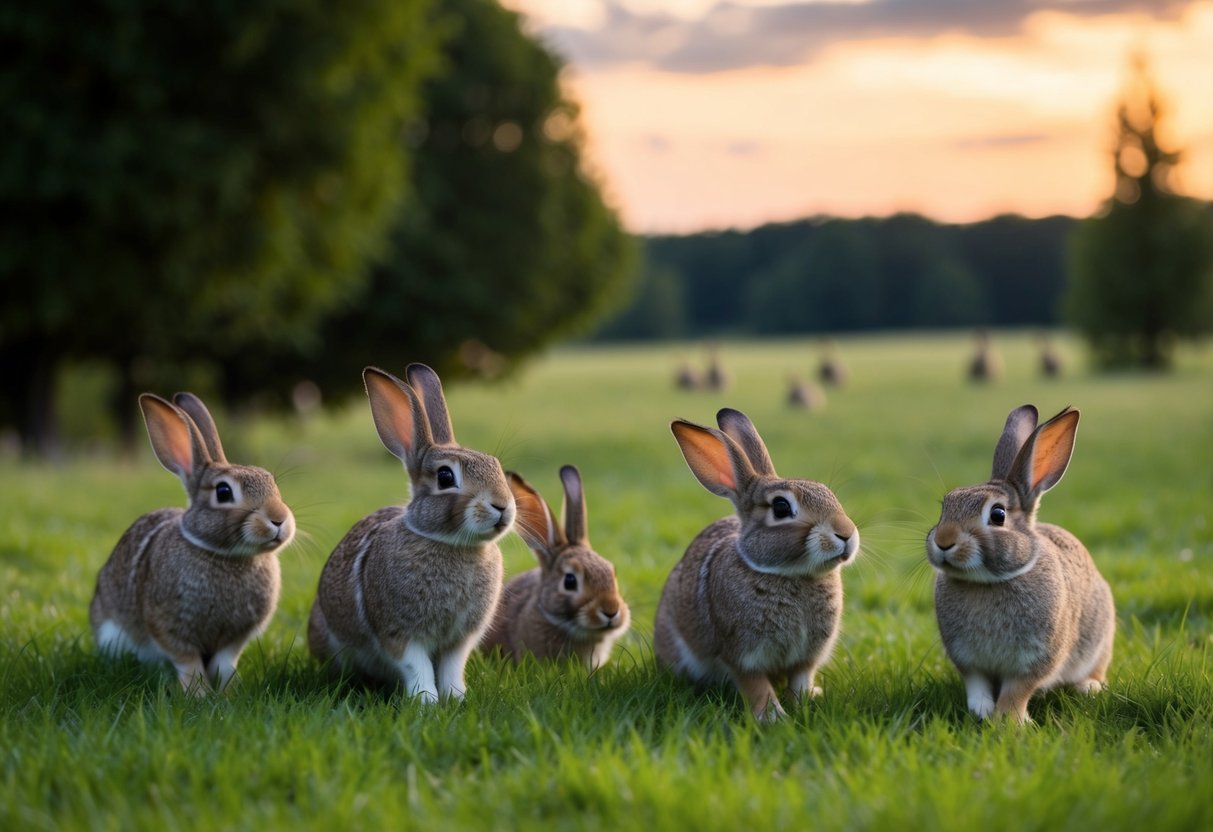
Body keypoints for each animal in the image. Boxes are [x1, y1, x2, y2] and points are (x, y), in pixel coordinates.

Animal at [89, 392, 295, 694]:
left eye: (271, 481)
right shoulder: (168, 626)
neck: (227, 556)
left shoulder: (234, 638)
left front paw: (230, 692)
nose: (279, 519)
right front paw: (198, 695)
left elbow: (224, 662)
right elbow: (189, 663)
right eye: (224, 492)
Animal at [307, 364, 515, 702]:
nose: (503, 506)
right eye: (445, 477)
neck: (453, 545)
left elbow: (452, 667)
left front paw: (456, 698)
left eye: (495, 465)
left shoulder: (459, 639)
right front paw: (426, 702)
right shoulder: (399, 633)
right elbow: (416, 667)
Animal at [654, 407, 860, 721]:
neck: (791, 575)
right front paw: (774, 718)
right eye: (781, 507)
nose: (846, 534)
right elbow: (757, 686)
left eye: (829, 494)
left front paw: (803, 702)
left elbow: (800, 679)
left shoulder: (807, 657)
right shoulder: (742, 654)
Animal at [926, 404, 1115, 724]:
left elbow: (1018, 690)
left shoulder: (1036, 658)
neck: (988, 582)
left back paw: (1089, 687)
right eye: (945, 506)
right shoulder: (968, 659)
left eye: (998, 514)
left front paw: (1010, 720)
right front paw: (982, 710)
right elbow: (976, 684)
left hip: (1100, 635)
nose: (943, 541)